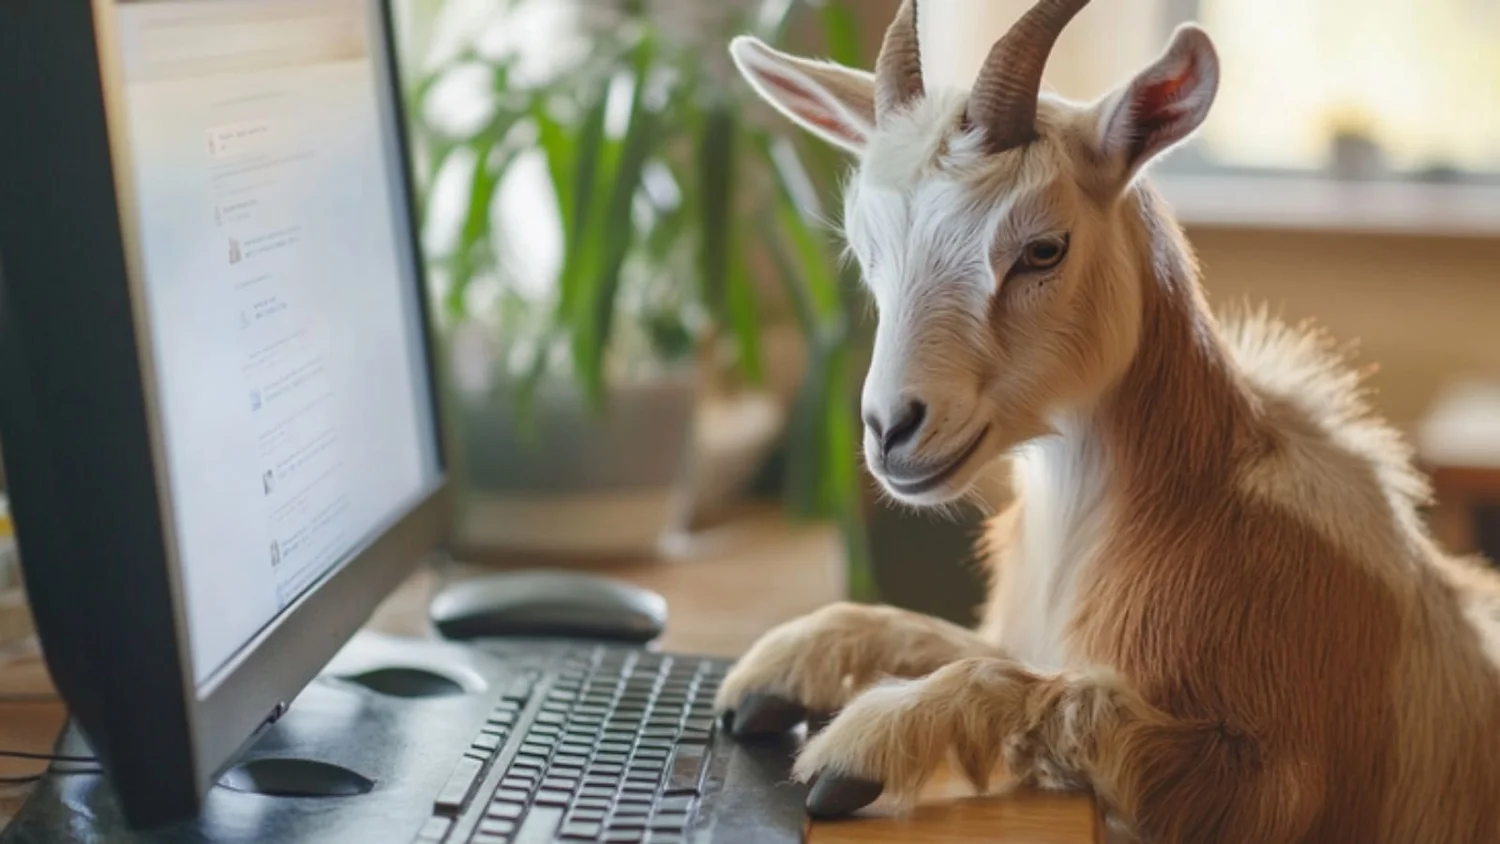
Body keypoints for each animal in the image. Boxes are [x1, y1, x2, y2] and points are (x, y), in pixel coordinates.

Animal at [715, 1, 1500, 841]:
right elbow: (947, 638)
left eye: (1043, 249)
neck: (1192, 502)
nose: (893, 430)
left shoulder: (1266, 785)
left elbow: (1055, 690)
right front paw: (782, 668)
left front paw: (867, 741)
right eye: (866, 248)